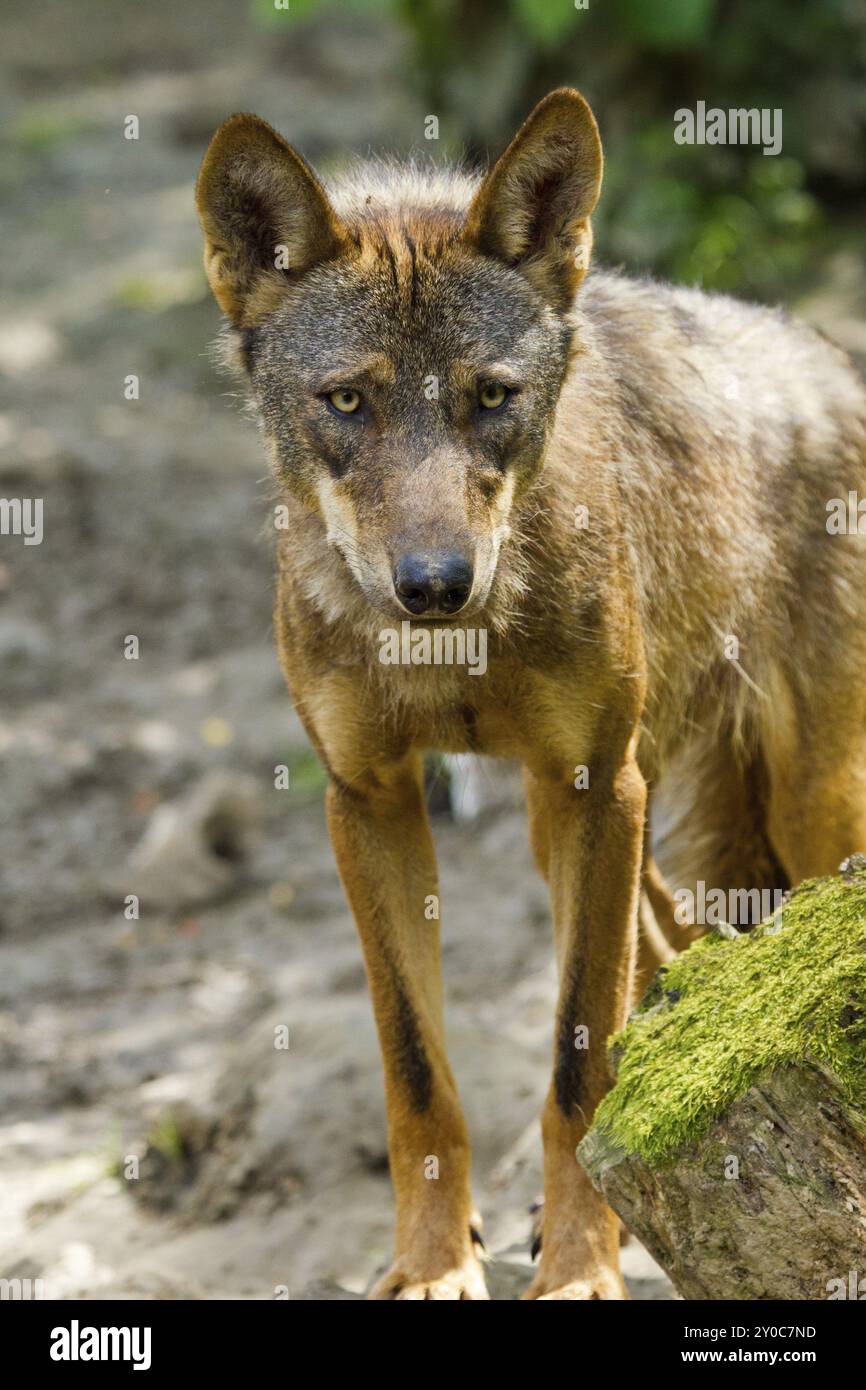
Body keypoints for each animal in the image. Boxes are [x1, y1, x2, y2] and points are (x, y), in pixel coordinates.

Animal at [197, 89, 866, 1298]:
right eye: (347, 400)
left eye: (491, 398)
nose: (432, 585)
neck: (460, 649)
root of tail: (829, 358)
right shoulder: (370, 799)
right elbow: (417, 1071)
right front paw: (431, 1263)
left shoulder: (597, 782)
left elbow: (572, 1063)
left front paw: (581, 1265)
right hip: (579, 819)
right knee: (669, 948)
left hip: (789, 805)